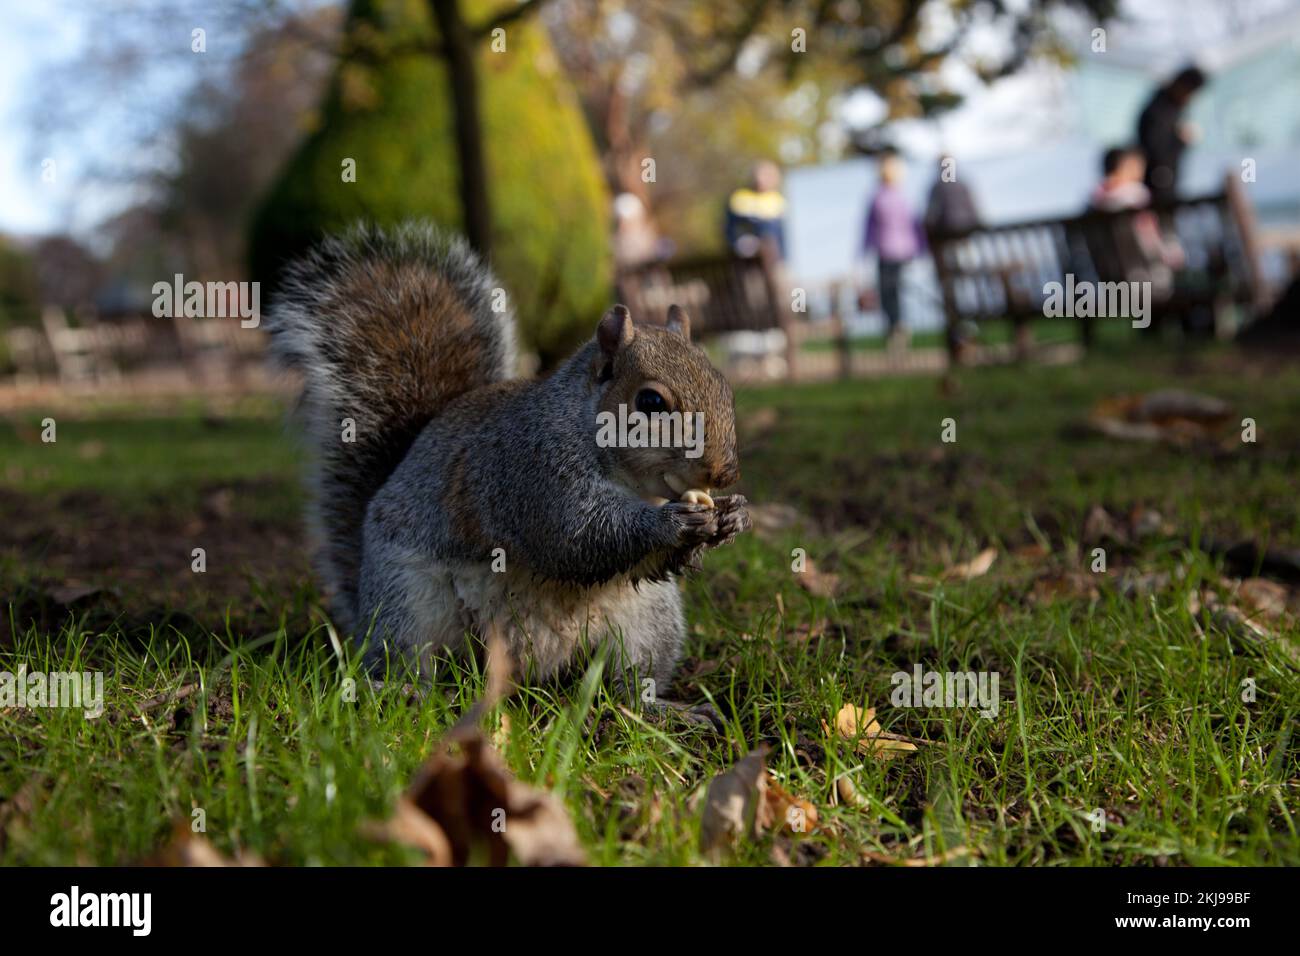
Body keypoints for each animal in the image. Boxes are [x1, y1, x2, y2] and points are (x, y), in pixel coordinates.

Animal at [267, 222, 751, 689]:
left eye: (723, 384)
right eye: (650, 402)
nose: (724, 472)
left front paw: (733, 515)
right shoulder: (529, 472)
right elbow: (576, 535)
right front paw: (672, 521)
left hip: (650, 620)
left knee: (629, 680)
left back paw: (662, 705)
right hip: (407, 601)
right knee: (406, 657)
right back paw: (403, 689)